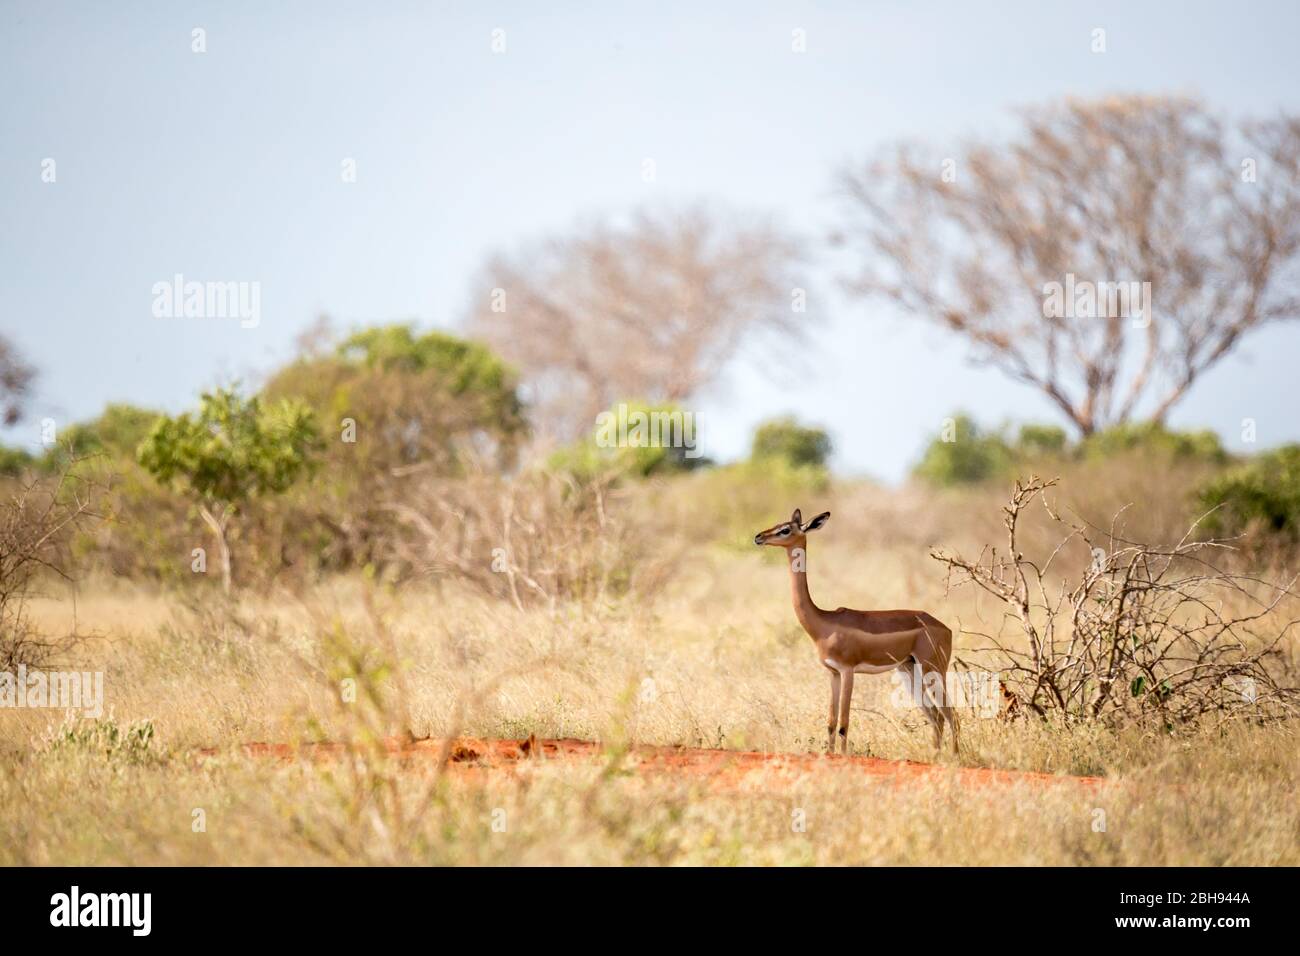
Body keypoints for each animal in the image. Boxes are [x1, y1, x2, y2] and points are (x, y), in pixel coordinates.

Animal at [754, 508, 960, 756]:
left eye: (785, 529)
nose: (758, 537)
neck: (824, 624)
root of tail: (944, 627)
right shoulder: (833, 673)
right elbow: (831, 722)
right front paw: (830, 755)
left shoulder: (848, 671)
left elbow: (844, 722)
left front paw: (843, 756)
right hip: (909, 671)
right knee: (936, 716)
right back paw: (935, 756)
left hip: (934, 670)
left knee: (951, 714)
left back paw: (954, 757)